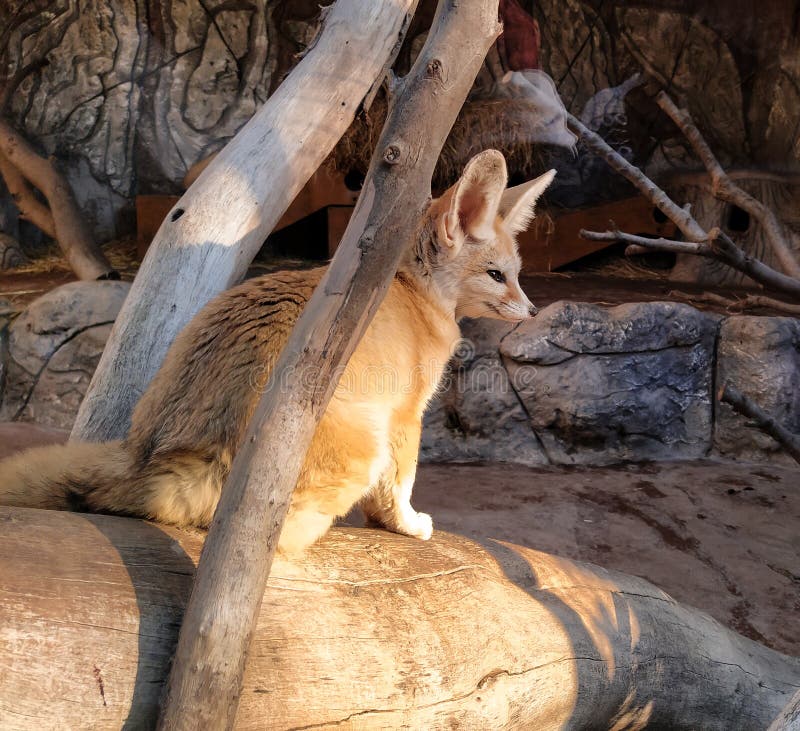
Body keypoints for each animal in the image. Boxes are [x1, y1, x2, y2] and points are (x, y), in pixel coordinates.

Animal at [0, 150, 554, 555]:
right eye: (497, 275)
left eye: (517, 273)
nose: (531, 310)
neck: (405, 284)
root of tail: (167, 458)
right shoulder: (405, 416)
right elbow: (400, 485)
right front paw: (407, 524)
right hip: (363, 446)